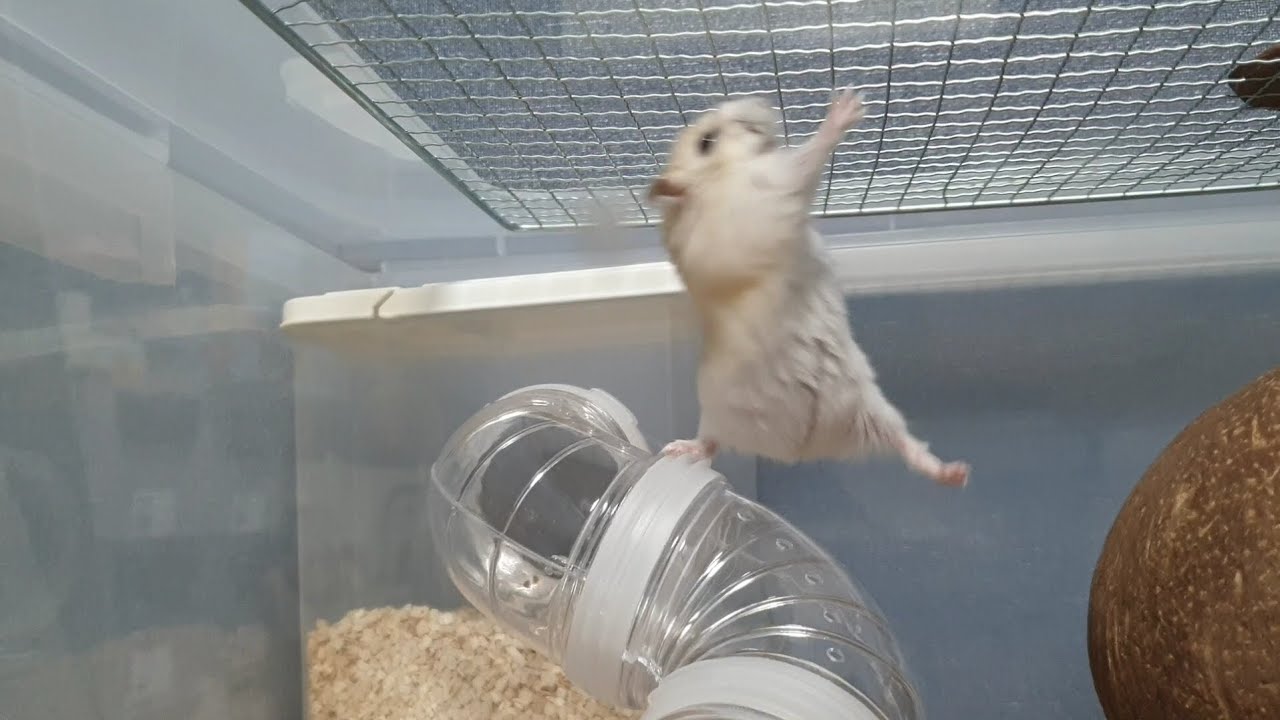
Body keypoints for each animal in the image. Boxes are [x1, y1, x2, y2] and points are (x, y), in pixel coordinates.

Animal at [647, 89, 970, 487]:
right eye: (707, 142)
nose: (762, 102)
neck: (719, 180)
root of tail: (797, 452)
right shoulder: (773, 188)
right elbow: (807, 160)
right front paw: (849, 104)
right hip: (720, 414)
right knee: (709, 442)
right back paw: (678, 448)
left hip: (870, 408)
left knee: (907, 447)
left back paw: (957, 474)